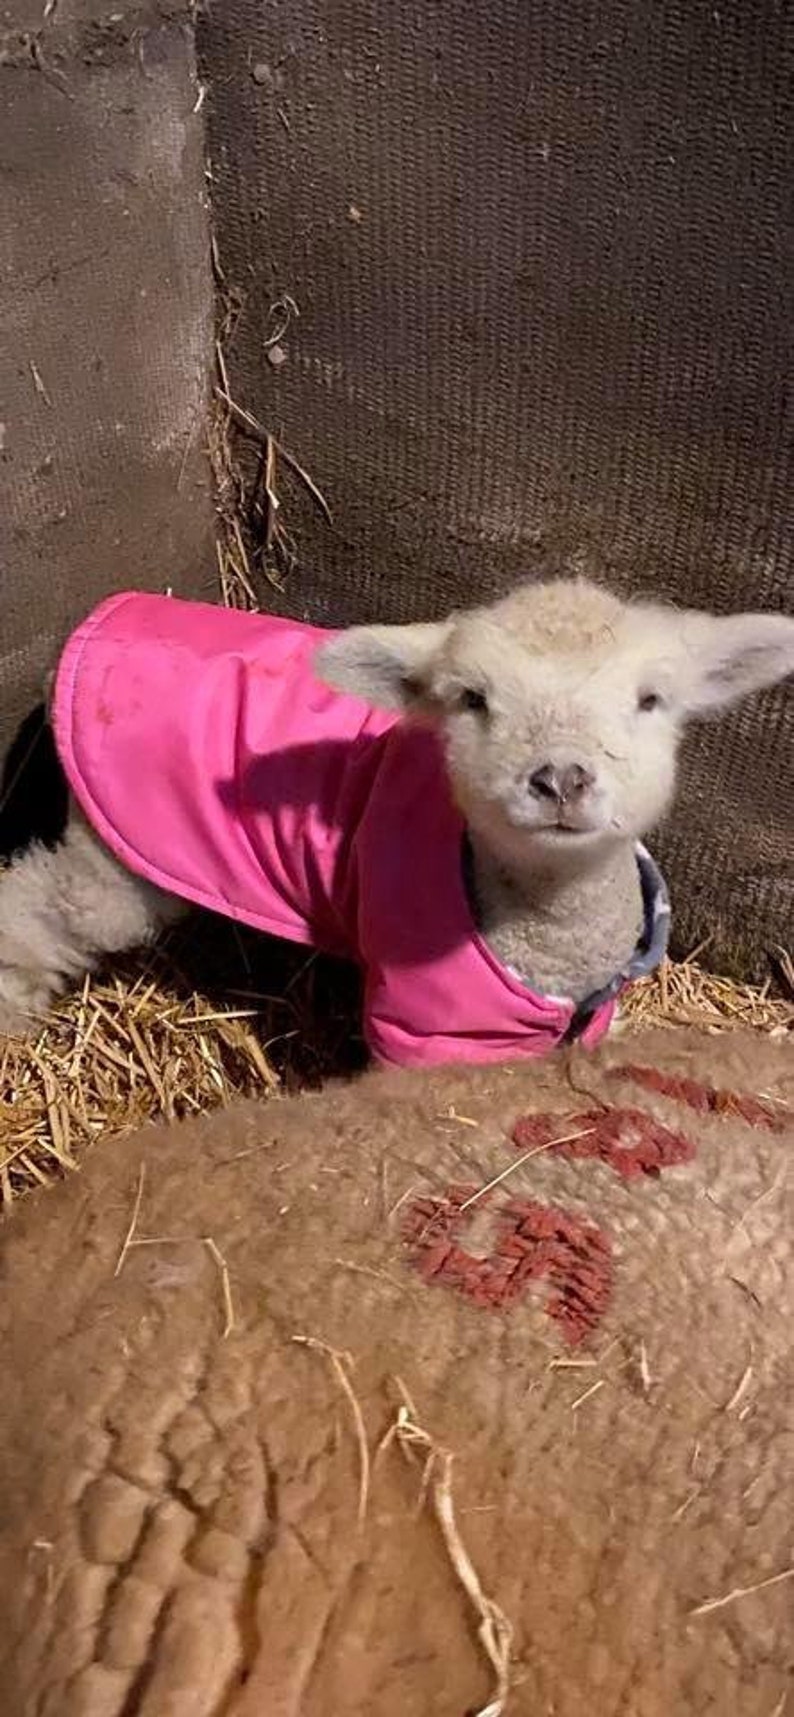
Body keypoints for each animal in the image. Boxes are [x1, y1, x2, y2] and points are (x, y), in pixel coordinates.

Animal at [0, 576, 791, 1065]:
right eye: (472, 699)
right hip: (112, 851)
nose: (560, 779)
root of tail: (89, 634)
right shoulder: (428, 1030)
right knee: (45, 904)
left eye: (651, 699)